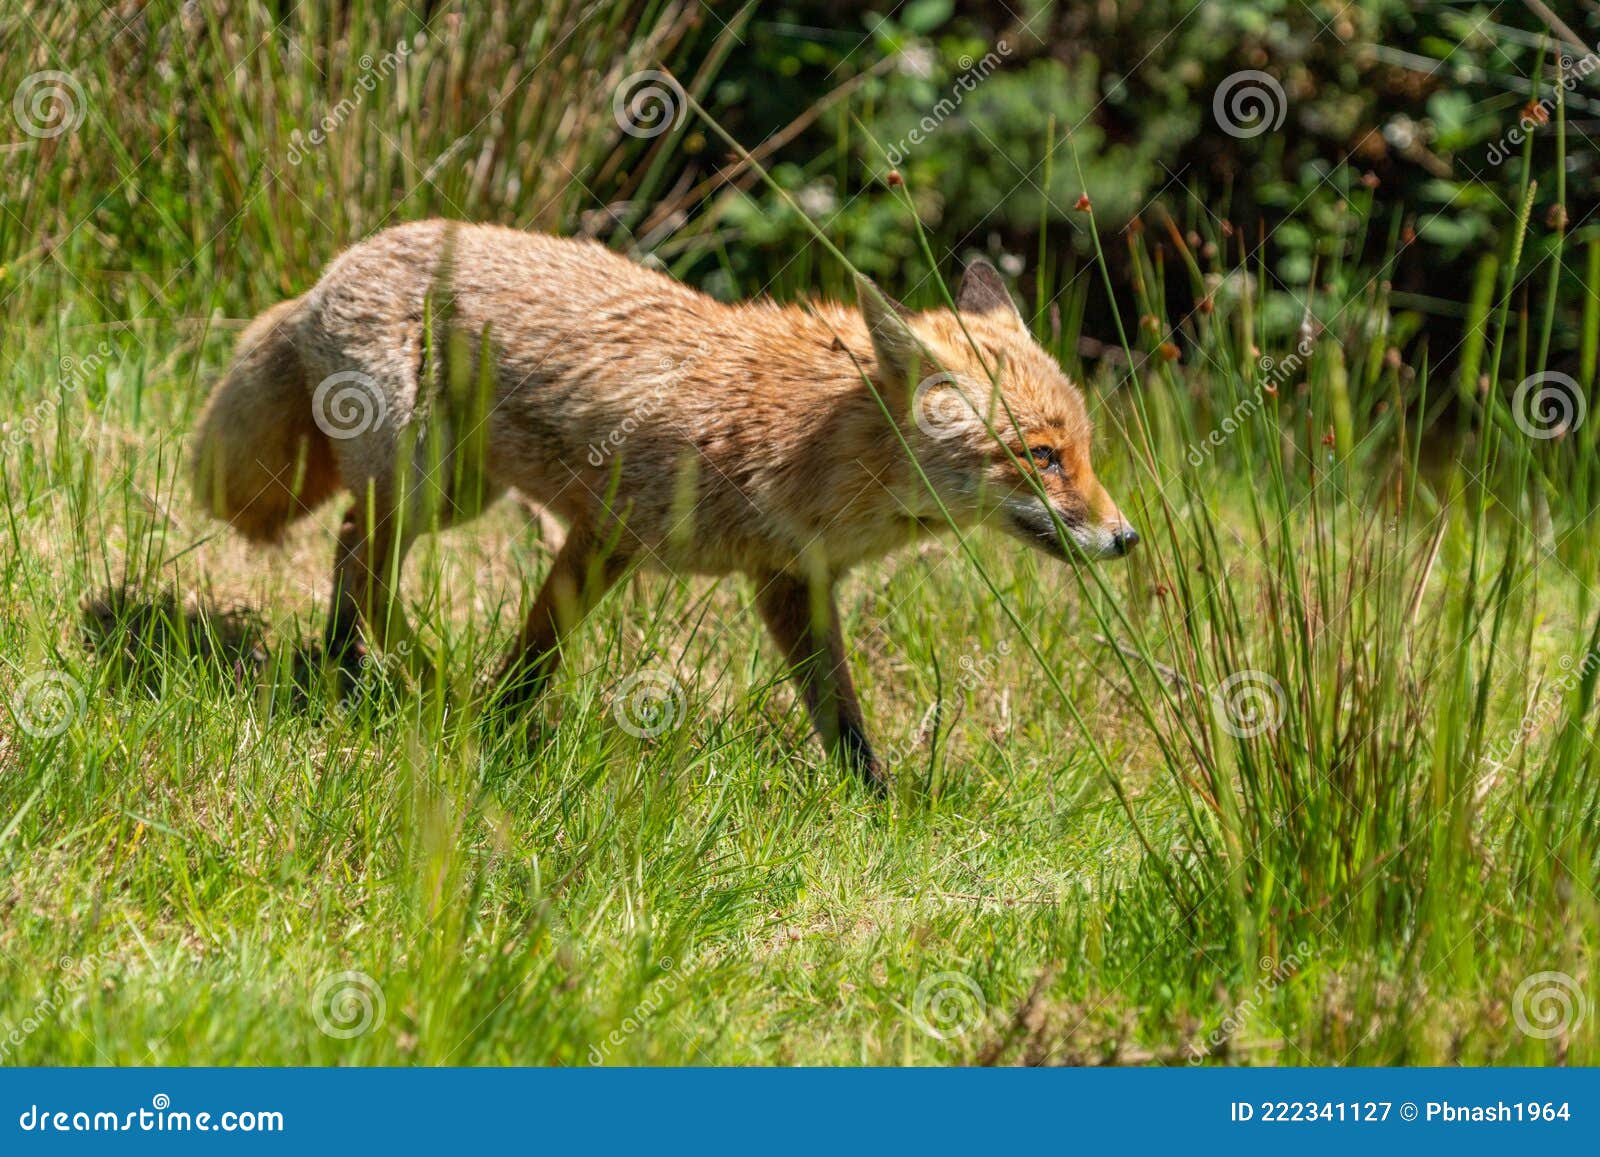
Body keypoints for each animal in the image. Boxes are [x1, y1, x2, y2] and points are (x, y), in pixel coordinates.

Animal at [192, 220, 1137, 791]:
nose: (1126, 536)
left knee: (354, 546)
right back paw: (405, 683)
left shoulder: (792, 582)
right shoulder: (606, 532)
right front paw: (498, 732)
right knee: (366, 558)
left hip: (455, 492)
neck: (807, 444)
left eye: (1084, 454)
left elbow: (842, 715)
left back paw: (351, 669)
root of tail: (333, 267)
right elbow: (535, 657)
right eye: (1041, 457)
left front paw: (879, 805)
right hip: (422, 475)